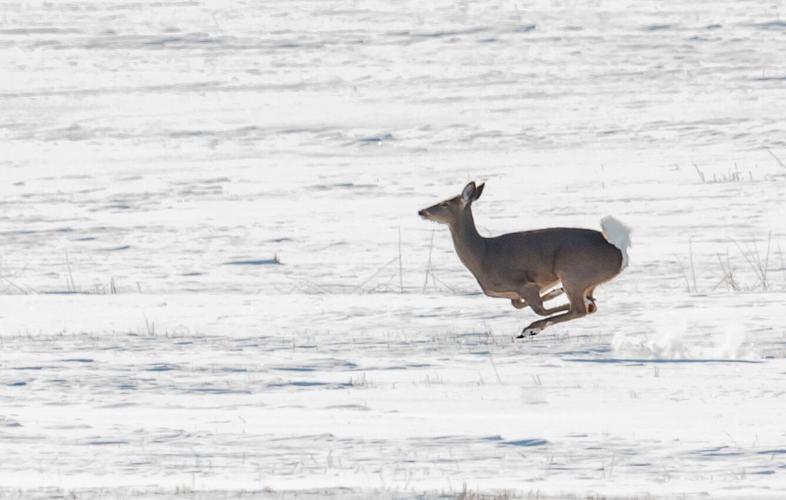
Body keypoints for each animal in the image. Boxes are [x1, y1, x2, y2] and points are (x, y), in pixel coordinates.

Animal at [418, 181, 631, 338]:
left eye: (445, 203)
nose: (421, 211)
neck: (481, 255)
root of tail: (620, 250)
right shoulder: (516, 291)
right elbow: (518, 304)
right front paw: (555, 292)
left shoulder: (523, 284)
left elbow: (539, 309)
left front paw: (536, 321)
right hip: (585, 280)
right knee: (590, 307)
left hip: (573, 272)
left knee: (579, 309)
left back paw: (530, 329)